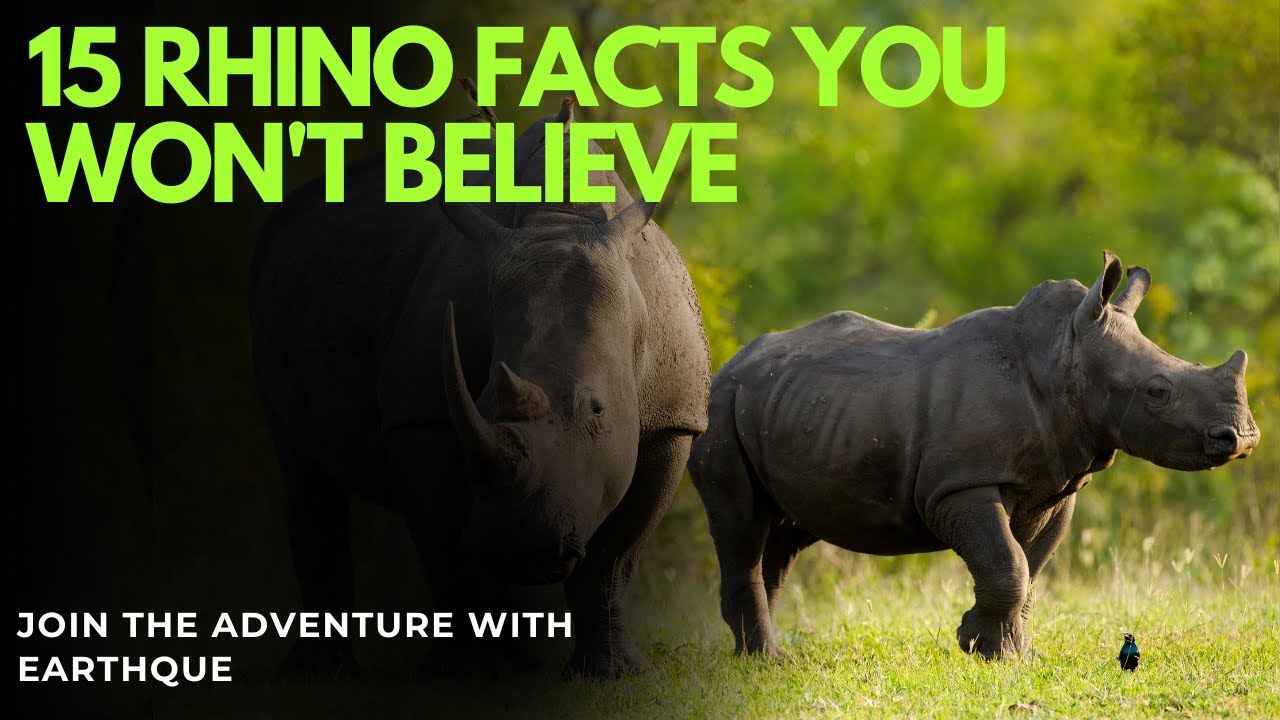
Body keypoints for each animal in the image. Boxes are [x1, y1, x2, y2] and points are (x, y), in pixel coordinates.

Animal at [250, 101, 710, 678]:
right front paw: (462, 674)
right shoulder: (419, 414)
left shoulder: (672, 419)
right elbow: (445, 548)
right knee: (304, 470)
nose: (520, 550)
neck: (561, 221)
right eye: (484, 399)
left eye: (598, 409)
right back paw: (318, 673)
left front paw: (612, 675)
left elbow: (614, 559)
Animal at [688, 251, 1259, 659]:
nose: (1243, 438)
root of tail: (728, 363)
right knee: (742, 523)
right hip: (720, 410)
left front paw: (1000, 650)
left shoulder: (1055, 483)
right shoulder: (960, 484)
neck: (1064, 357)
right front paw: (990, 652)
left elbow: (1027, 567)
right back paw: (766, 662)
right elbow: (1008, 564)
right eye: (1158, 391)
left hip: (786, 405)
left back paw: (764, 657)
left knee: (783, 535)